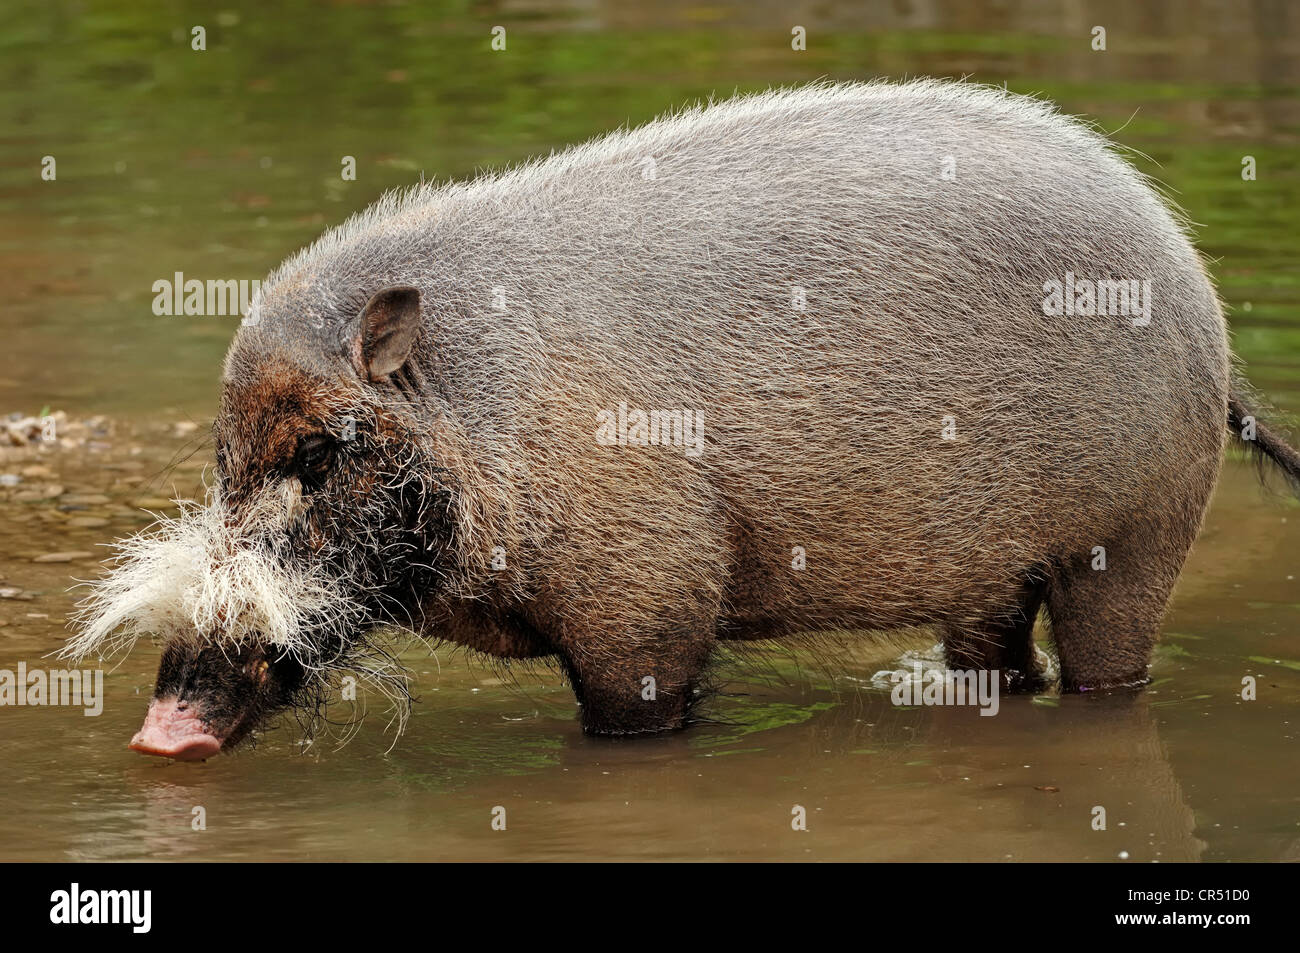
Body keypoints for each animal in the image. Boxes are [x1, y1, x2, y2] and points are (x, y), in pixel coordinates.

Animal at [66, 79, 1300, 758]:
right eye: (226, 460)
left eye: (321, 454)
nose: (159, 729)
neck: (493, 415)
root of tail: (1208, 317)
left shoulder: (648, 596)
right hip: (996, 576)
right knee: (1003, 664)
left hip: (1136, 529)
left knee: (1106, 669)